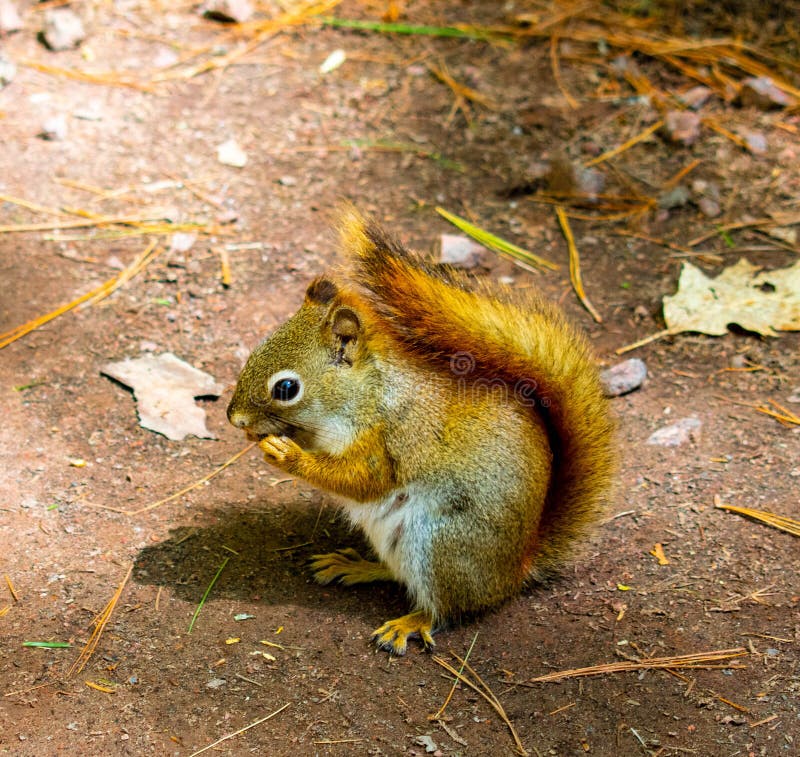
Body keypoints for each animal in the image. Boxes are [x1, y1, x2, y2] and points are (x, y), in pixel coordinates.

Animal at [227, 208, 615, 655]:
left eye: (286, 388)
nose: (234, 418)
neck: (370, 391)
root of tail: (513, 572)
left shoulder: (388, 438)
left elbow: (361, 479)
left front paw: (286, 454)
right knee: (399, 575)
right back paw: (355, 566)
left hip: (438, 541)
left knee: (447, 607)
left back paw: (409, 622)